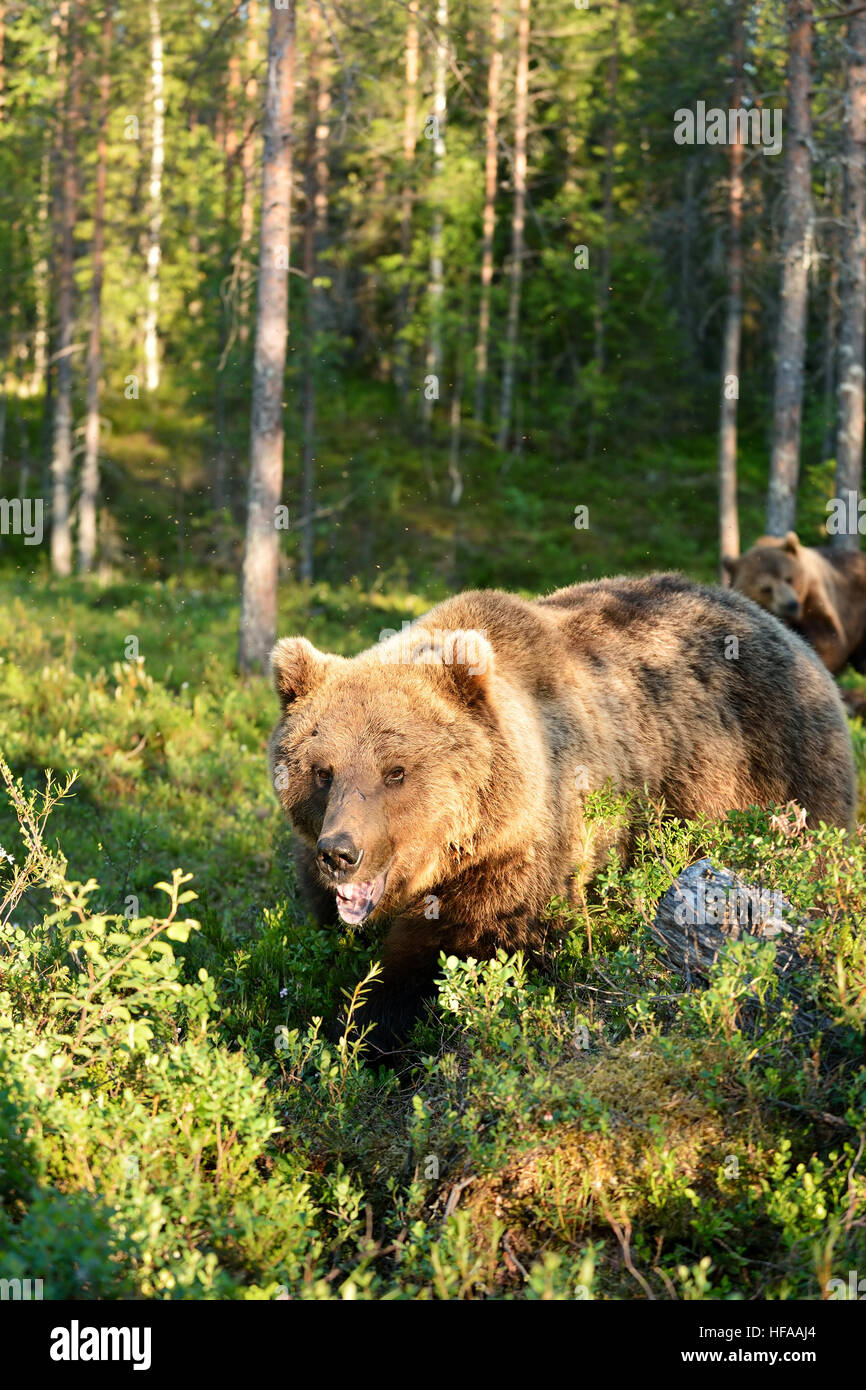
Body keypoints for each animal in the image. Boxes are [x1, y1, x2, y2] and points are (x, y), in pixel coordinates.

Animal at [269, 573, 855, 1054]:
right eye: (323, 771)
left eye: (395, 771)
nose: (341, 853)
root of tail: (782, 631)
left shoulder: (524, 853)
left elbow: (467, 953)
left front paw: (377, 1026)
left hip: (776, 775)